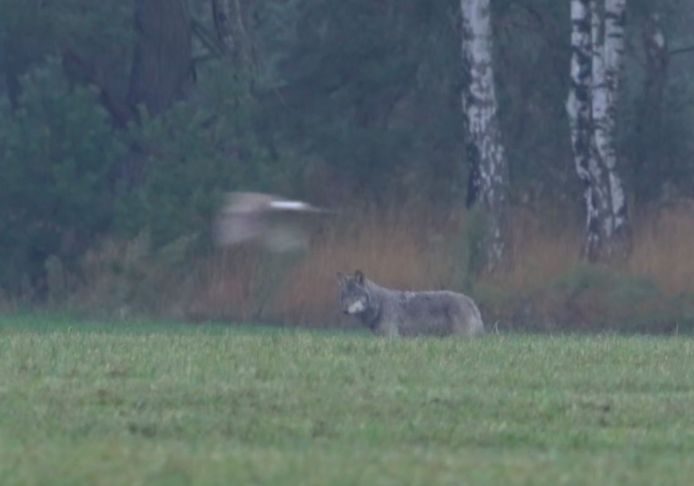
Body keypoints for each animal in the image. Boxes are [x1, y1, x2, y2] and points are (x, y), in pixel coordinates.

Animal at [337, 270, 484, 337]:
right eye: (344, 296)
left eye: (355, 295)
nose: (344, 310)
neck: (379, 306)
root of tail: (470, 301)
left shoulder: (391, 338)